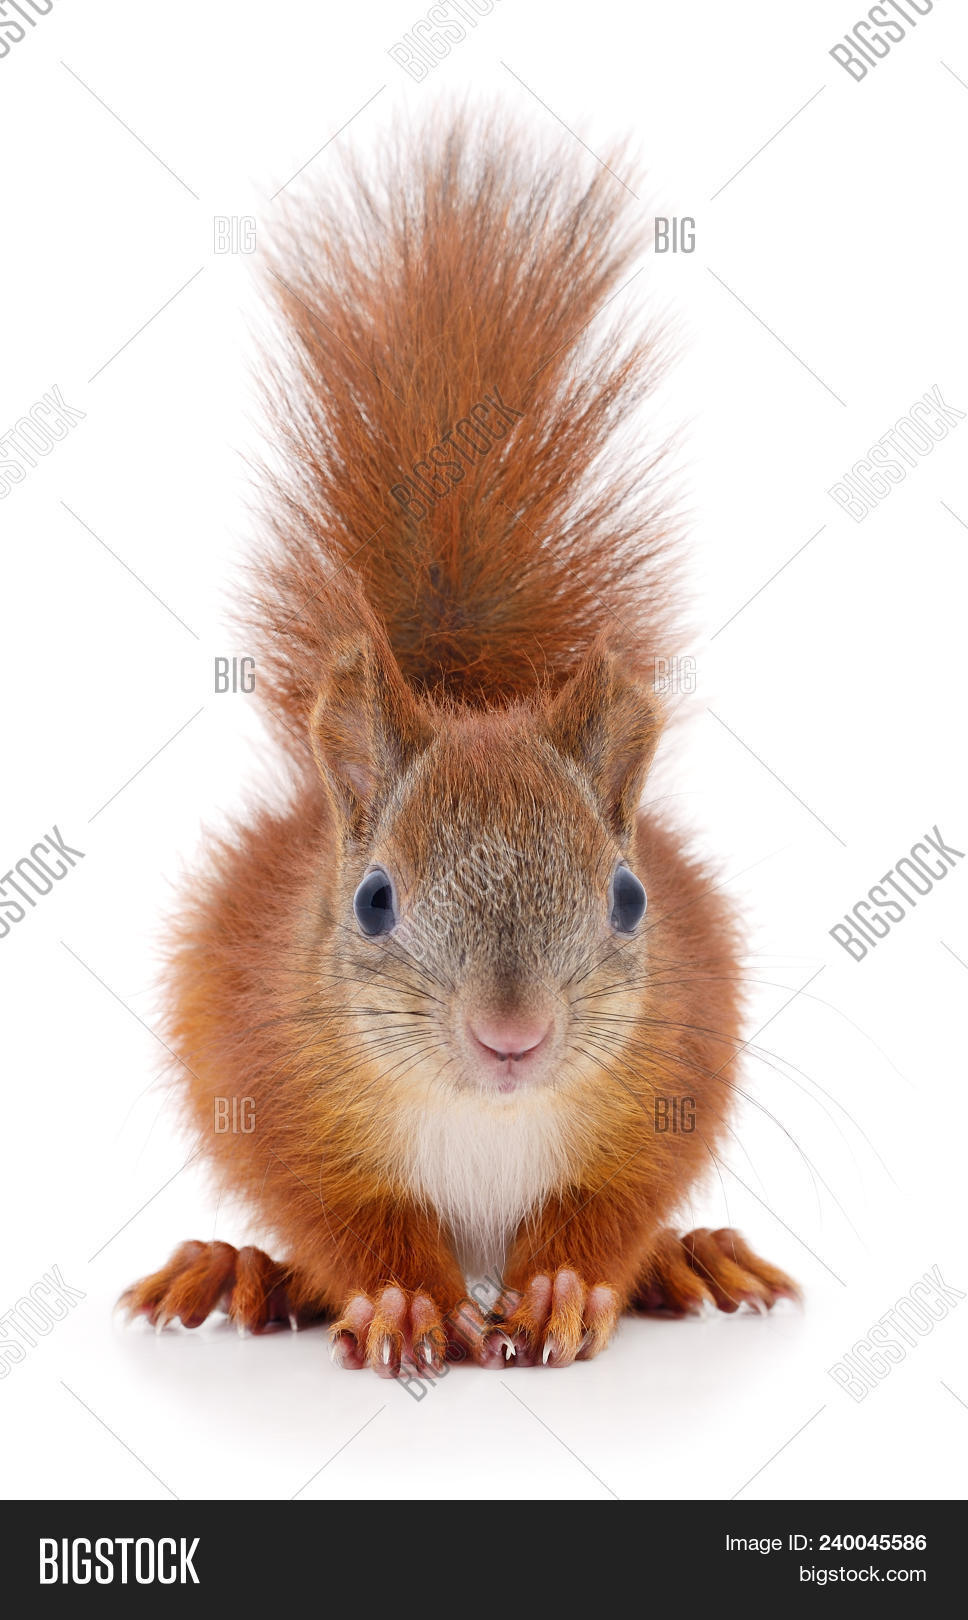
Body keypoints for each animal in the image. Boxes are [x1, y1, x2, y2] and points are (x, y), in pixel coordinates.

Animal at [121, 114, 798, 1373]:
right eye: (372, 900)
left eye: (629, 897)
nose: (511, 1037)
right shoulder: (272, 1080)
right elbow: (345, 1219)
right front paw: (404, 1301)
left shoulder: (671, 1068)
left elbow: (607, 1206)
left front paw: (567, 1284)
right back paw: (234, 1272)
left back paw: (690, 1260)